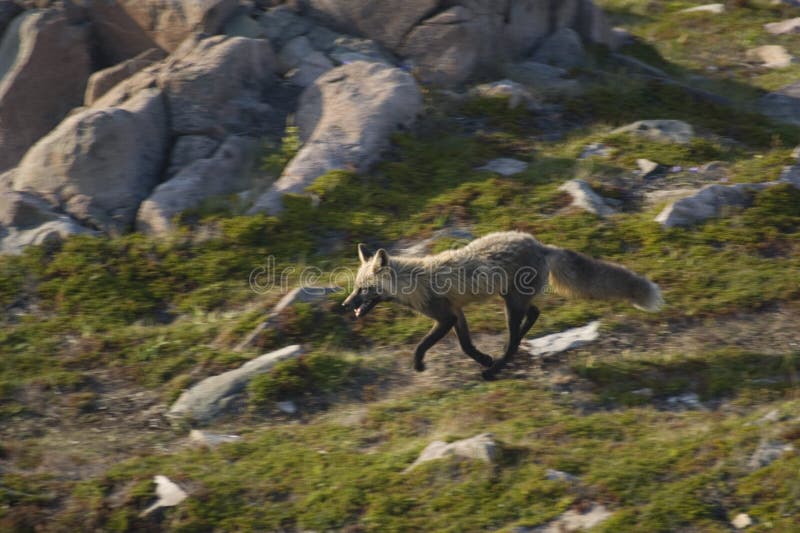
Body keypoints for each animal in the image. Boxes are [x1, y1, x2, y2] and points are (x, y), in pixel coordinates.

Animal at [343, 231, 663, 380]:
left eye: (363, 290)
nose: (345, 305)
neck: (415, 281)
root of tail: (540, 245)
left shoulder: (444, 316)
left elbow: (422, 345)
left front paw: (419, 364)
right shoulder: (457, 313)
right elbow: (466, 345)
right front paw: (483, 358)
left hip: (510, 304)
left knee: (514, 340)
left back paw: (496, 369)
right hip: (512, 299)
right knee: (533, 315)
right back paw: (503, 355)